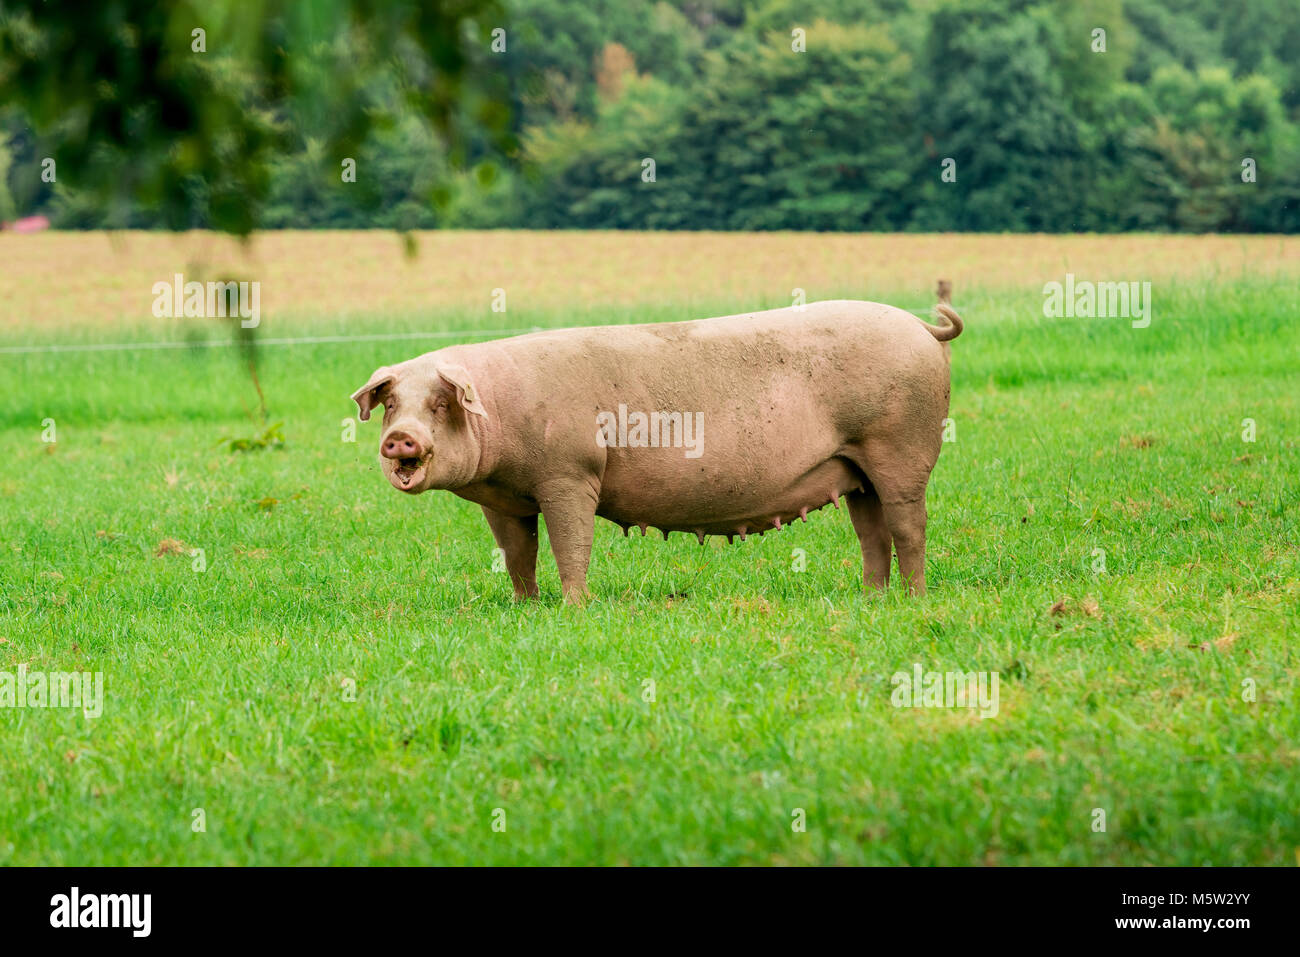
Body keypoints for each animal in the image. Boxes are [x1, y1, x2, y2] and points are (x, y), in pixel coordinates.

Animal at [350, 298, 963, 603]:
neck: (501, 410)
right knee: (871, 531)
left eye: (439, 404)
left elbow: (570, 543)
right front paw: (526, 606)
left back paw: (913, 599)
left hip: (900, 446)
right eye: (391, 404)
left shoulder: (571, 474)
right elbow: (518, 554)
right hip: (855, 467)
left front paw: (575, 607)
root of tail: (922, 328)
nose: (401, 437)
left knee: (908, 524)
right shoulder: (505, 500)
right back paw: (872, 598)